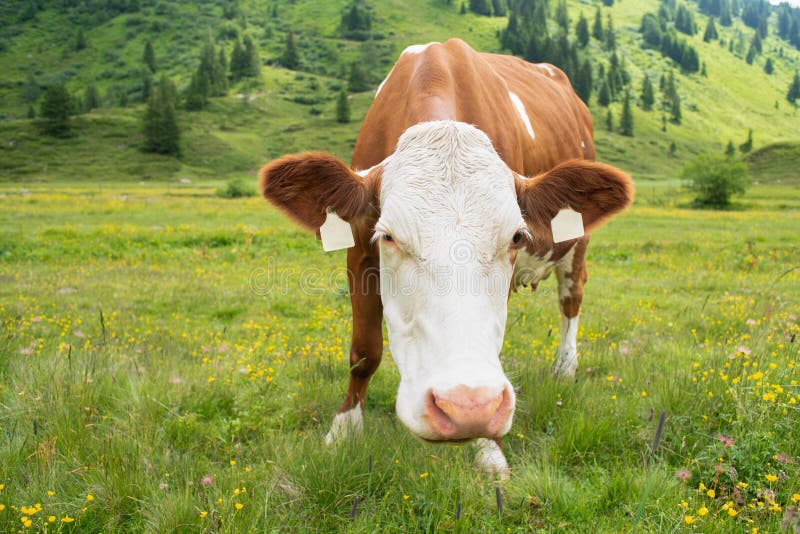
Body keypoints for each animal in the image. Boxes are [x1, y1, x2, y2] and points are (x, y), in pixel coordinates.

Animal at [259, 39, 633, 475]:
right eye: (388, 236)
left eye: (516, 236)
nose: (467, 407)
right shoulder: (358, 249)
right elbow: (363, 352)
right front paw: (343, 431)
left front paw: (489, 449)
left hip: (578, 241)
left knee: (571, 297)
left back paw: (564, 367)